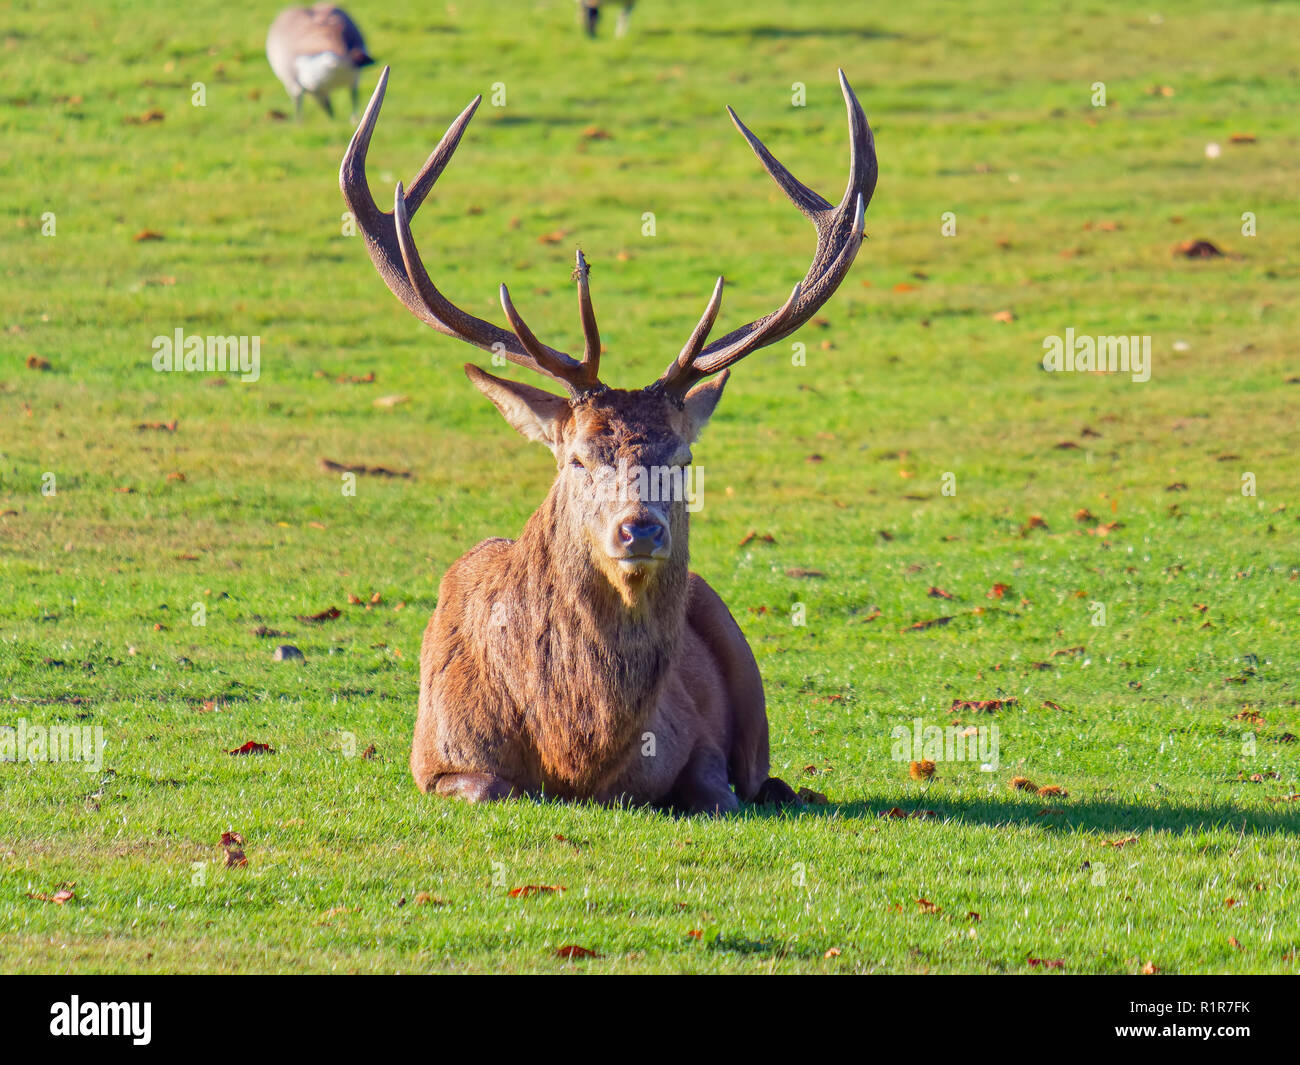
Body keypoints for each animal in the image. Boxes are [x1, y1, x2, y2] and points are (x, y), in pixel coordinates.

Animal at [340, 68, 876, 813]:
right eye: (577, 456)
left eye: (682, 456)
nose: (640, 529)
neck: (574, 750)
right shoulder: (435, 755)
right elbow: (488, 786)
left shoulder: (699, 744)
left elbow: (718, 790)